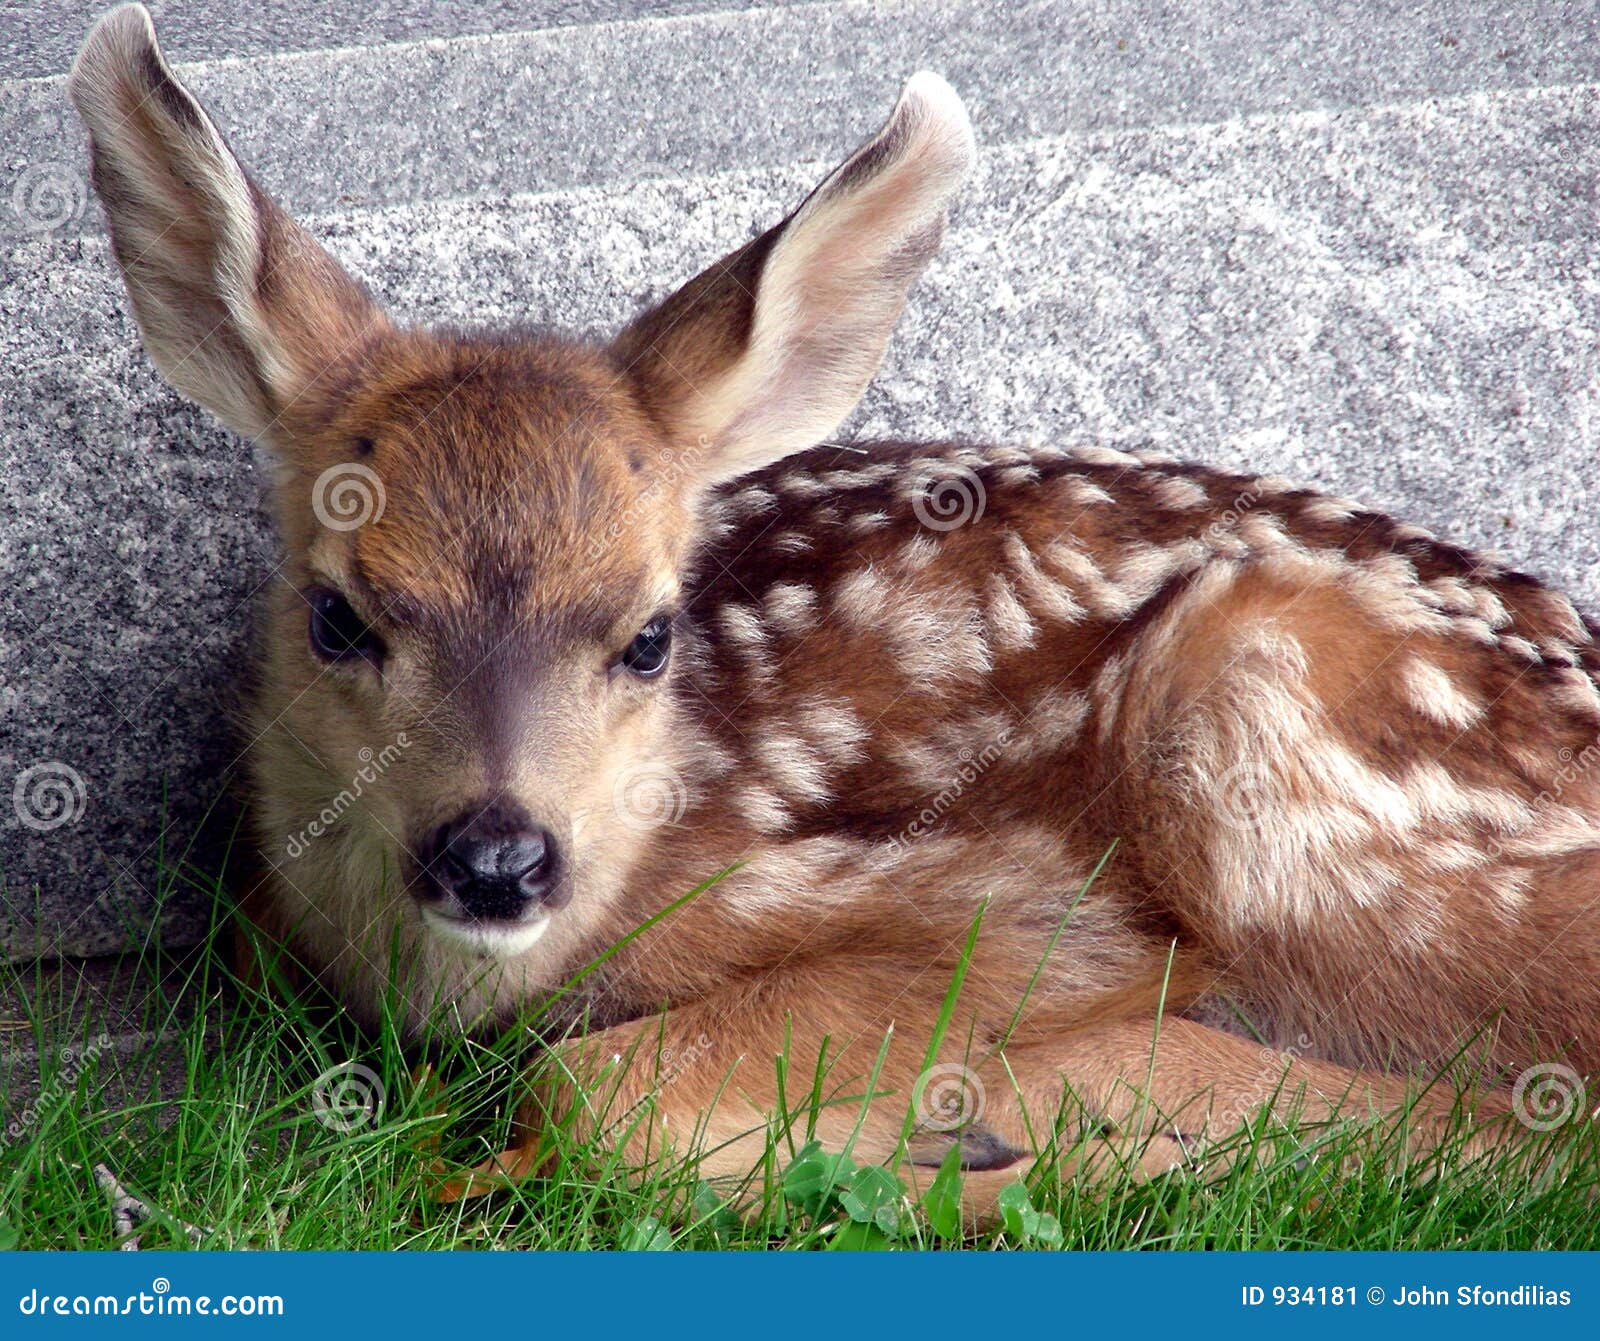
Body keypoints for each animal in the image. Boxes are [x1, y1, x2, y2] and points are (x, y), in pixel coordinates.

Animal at [70, 3, 1600, 1222]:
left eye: (648, 633)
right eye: (338, 616)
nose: (496, 859)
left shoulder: (1013, 901)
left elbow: (594, 1091)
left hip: (1266, 713)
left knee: (1536, 1131)